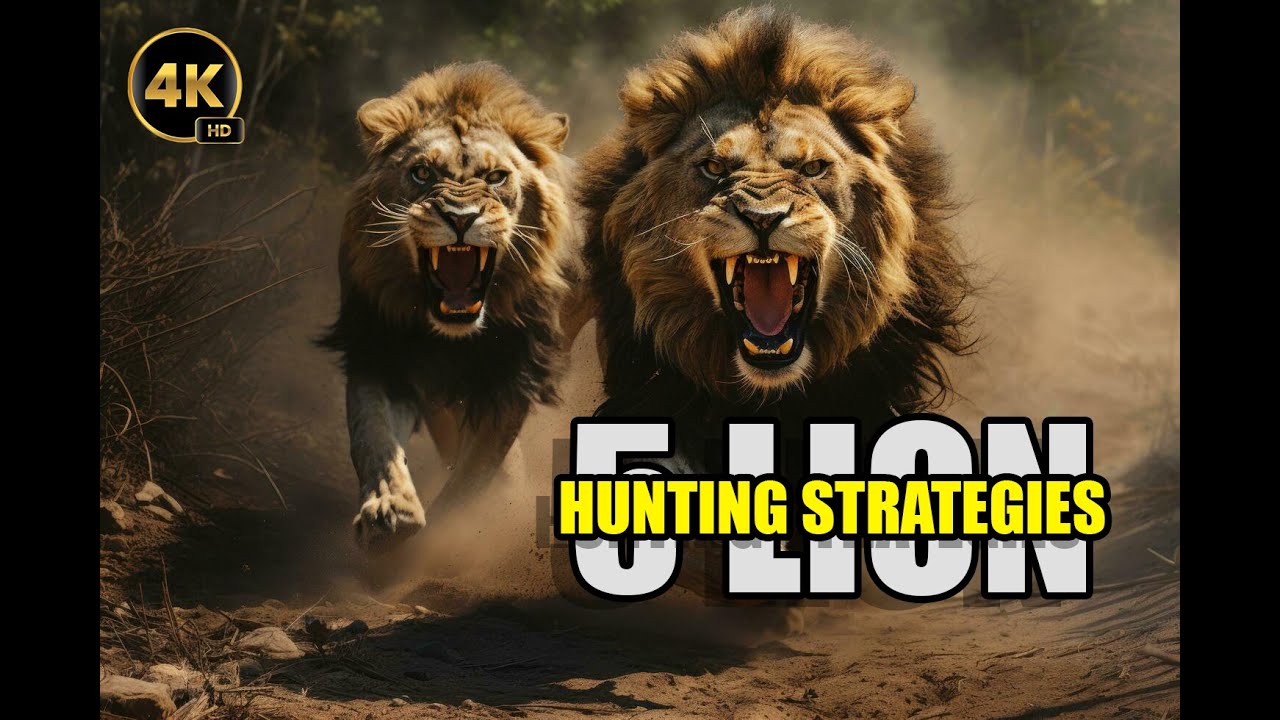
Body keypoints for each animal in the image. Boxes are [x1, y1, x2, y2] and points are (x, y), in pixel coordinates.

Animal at [320, 62, 588, 552]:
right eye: (422, 173)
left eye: (497, 177)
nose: (461, 217)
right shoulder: (380, 351)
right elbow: (370, 435)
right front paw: (389, 511)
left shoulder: (510, 379)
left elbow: (472, 476)